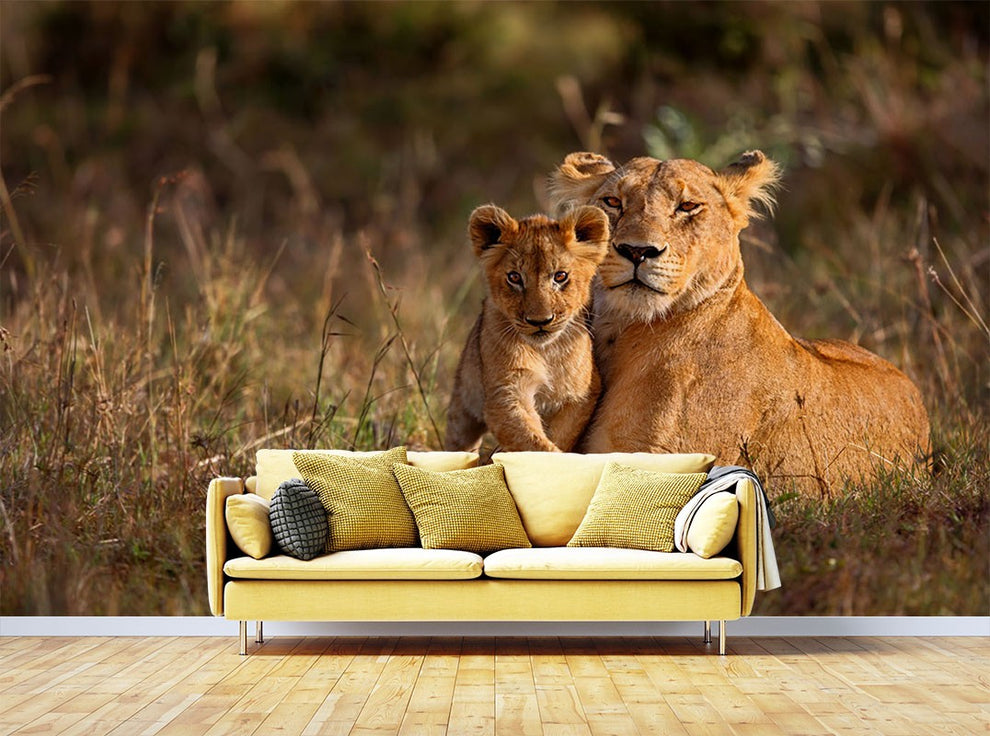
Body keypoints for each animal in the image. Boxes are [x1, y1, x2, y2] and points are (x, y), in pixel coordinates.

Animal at [445, 204, 610, 453]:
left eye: (560, 276)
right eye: (515, 277)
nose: (540, 321)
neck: (546, 351)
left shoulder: (581, 395)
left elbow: (557, 437)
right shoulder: (506, 393)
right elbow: (533, 442)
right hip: (462, 405)